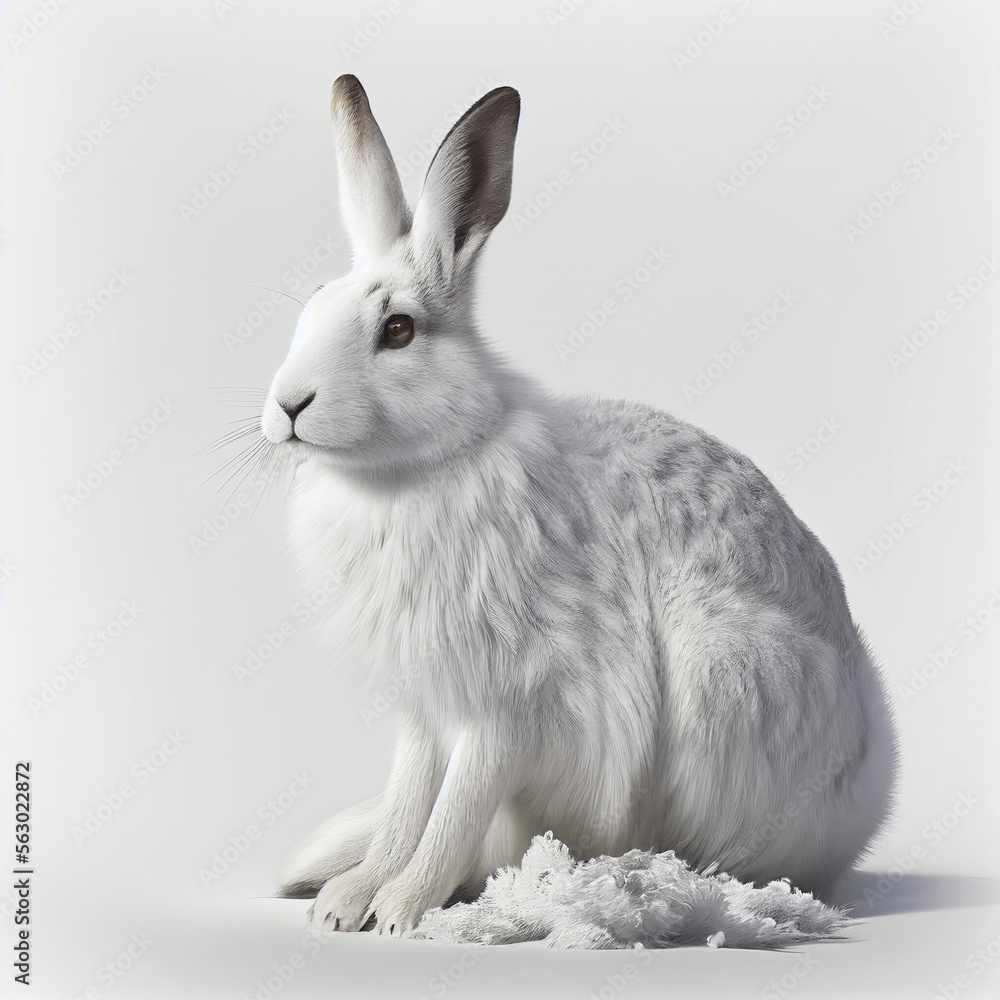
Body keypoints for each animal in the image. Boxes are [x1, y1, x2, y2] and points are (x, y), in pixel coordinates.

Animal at [263, 75, 898, 937]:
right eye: (310, 311)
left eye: (398, 329)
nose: (288, 407)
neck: (418, 471)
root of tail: (873, 780)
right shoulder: (426, 708)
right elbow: (407, 802)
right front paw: (347, 905)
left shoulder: (509, 704)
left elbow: (456, 805)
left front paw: (401, 910)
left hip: (728, 682)